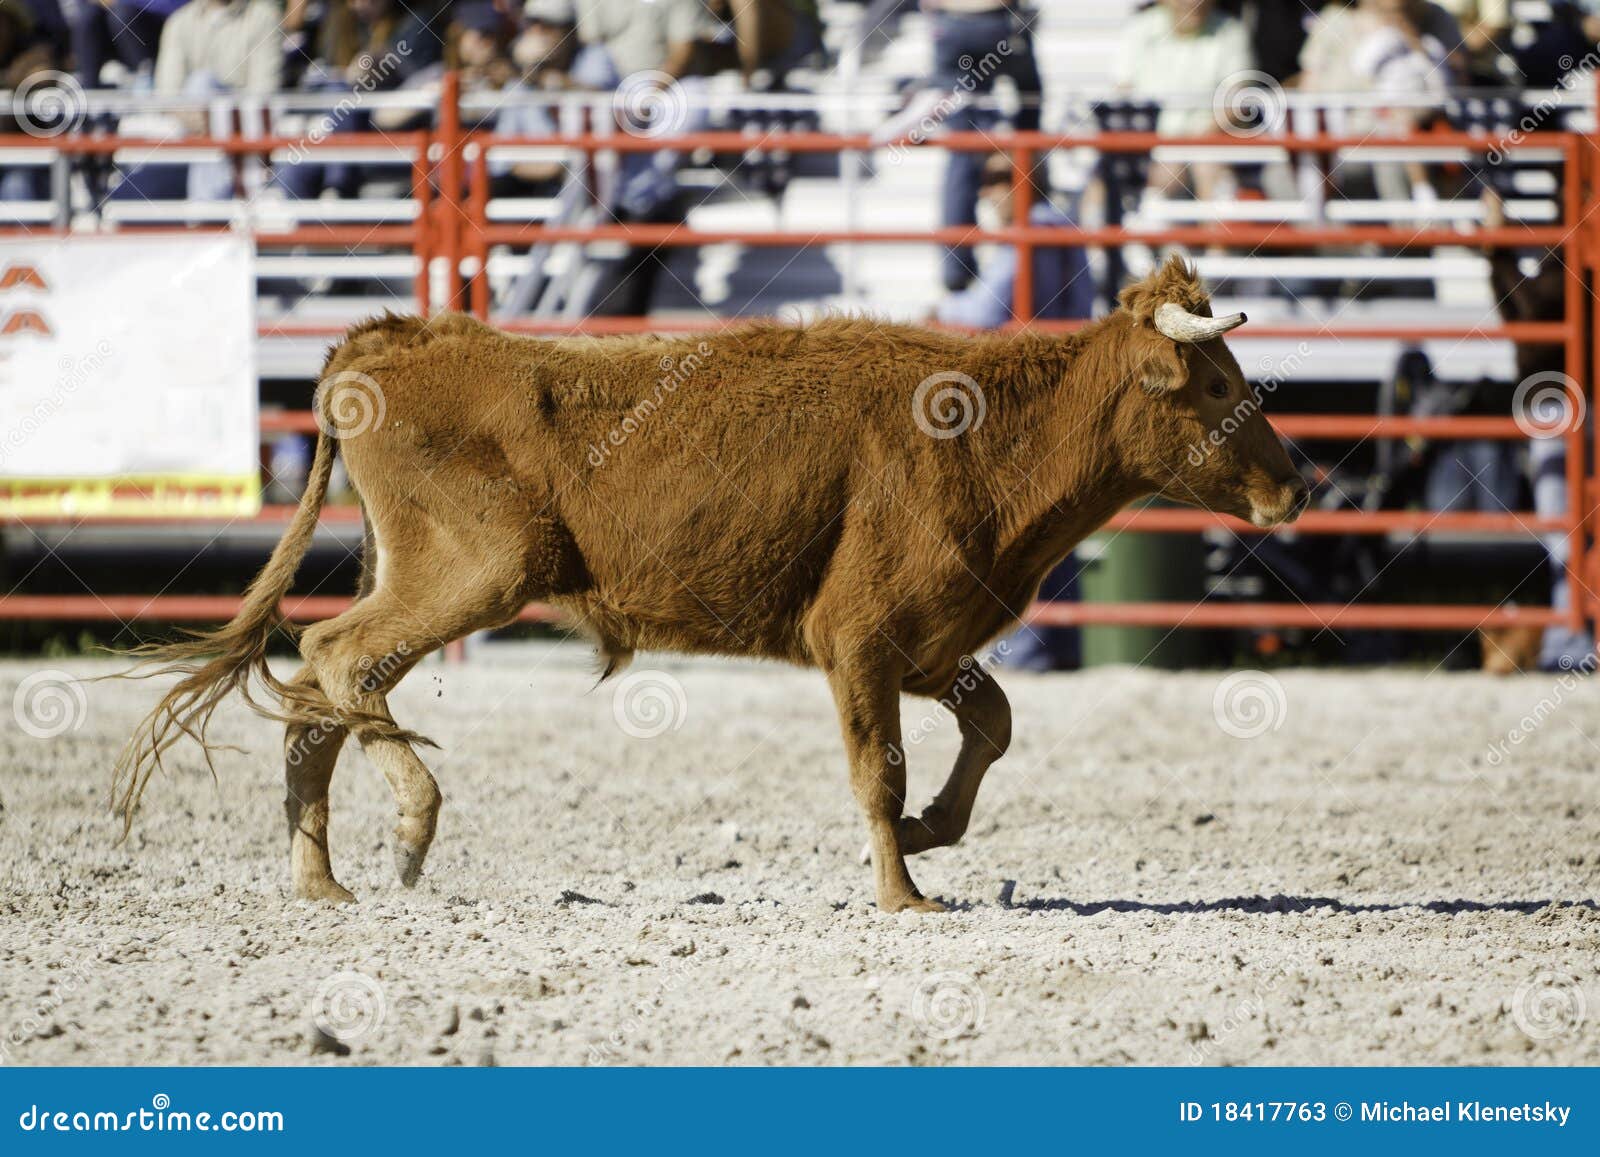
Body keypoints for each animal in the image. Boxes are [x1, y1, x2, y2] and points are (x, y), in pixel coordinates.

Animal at [114, 256, 1308, 913]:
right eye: (1213, 385)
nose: (1296, 483)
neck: (985, 437)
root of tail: (388, 340)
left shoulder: (925, 640)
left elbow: (993, 724)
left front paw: (933, 831)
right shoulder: (858, 638)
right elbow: (877, 771)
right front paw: (902, 890)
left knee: (319, 693)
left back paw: (321, 877)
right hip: (480, 570)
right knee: (334, 659)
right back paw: (410, 824)